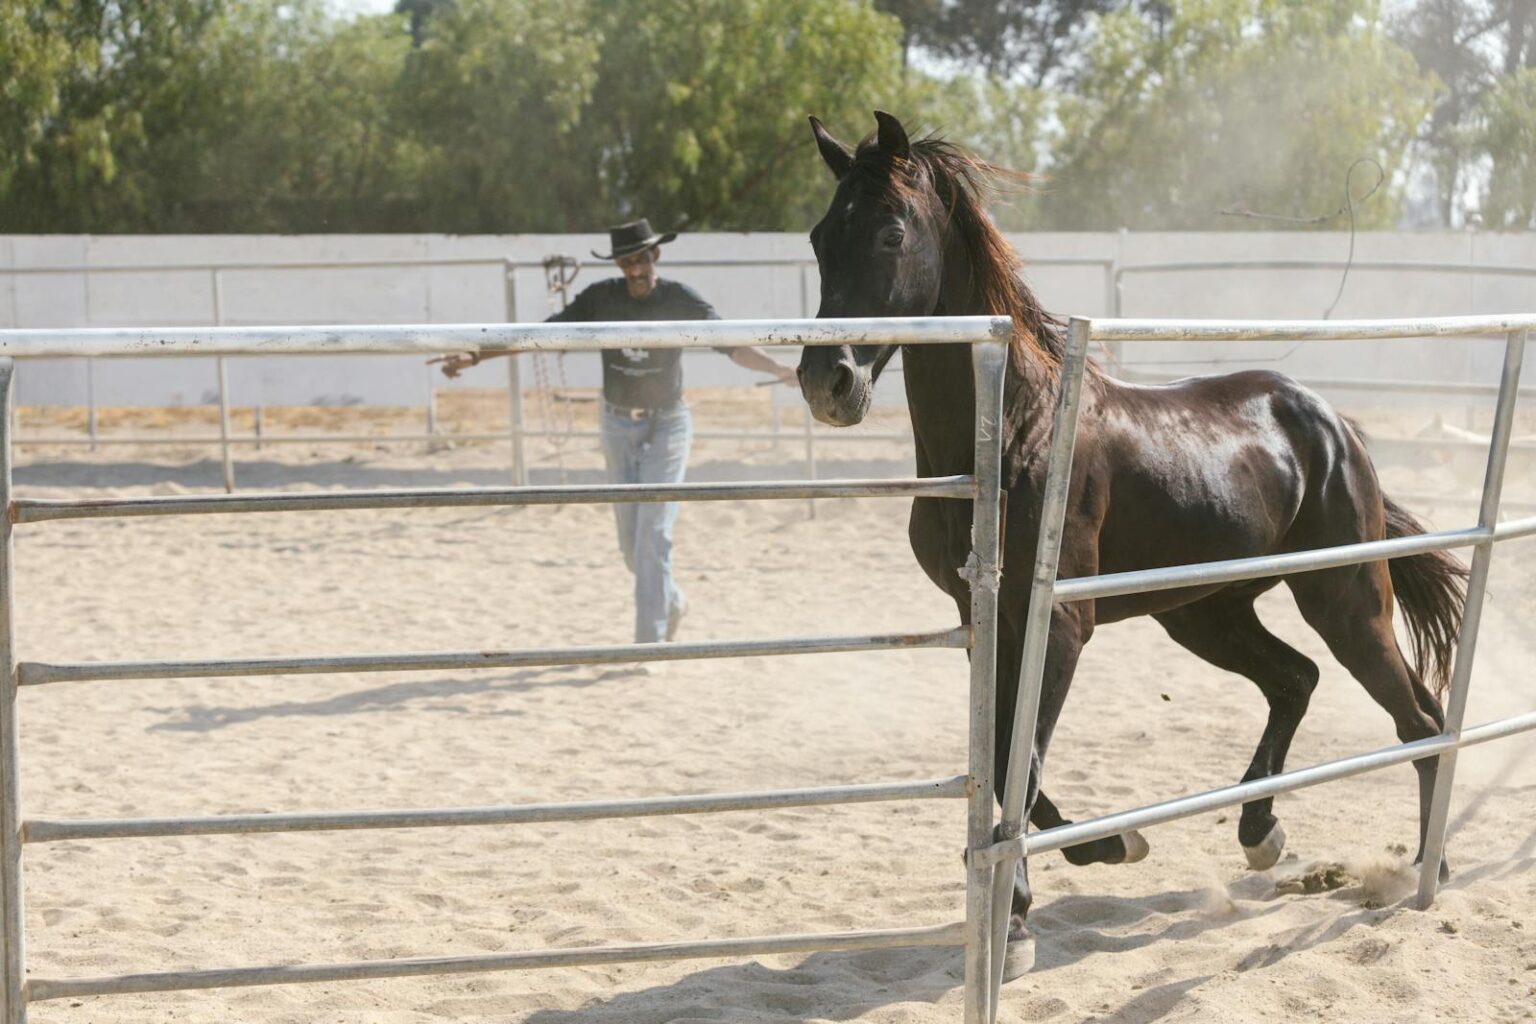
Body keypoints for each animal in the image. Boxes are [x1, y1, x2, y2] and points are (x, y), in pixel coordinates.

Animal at [794, 111, 1468, 949]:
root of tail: (1334, 424)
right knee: (1298, 681)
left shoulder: (1060, 623)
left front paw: (1033, 905)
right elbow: (1004, 758)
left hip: (1344, 601)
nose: (828, 382)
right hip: (1207, 615)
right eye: (821, 236)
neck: (1017, 430)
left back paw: (1427, 868)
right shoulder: (984, 620)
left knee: (1418, 719)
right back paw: (1261, 834)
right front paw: (1093, 856)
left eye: (890, 232)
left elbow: (1023, 762)